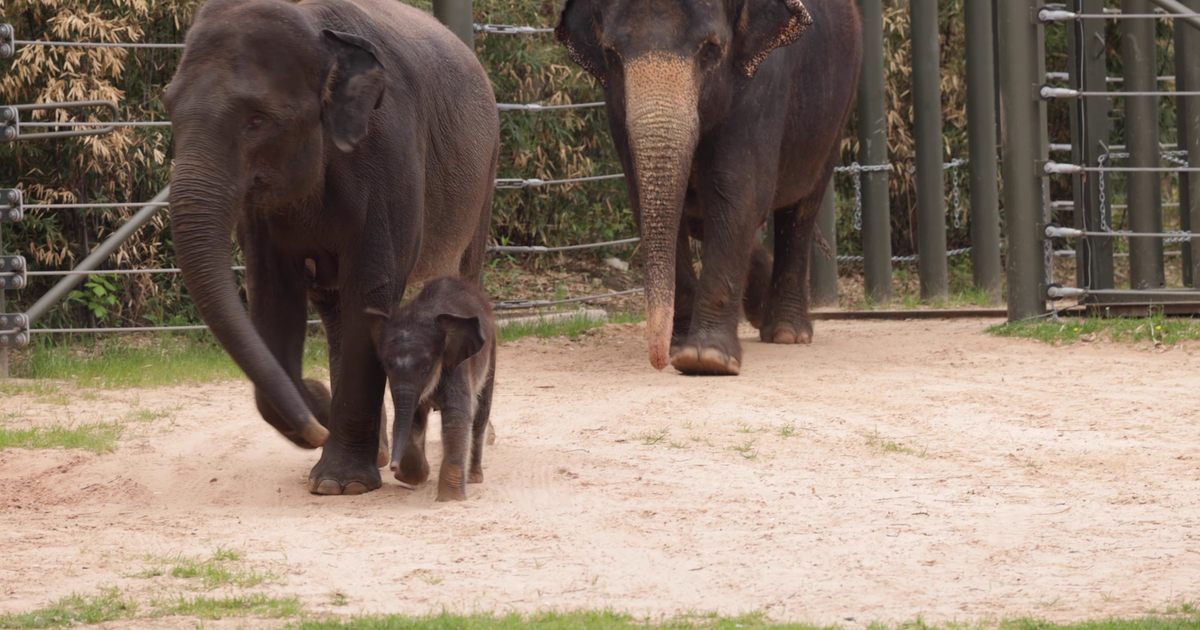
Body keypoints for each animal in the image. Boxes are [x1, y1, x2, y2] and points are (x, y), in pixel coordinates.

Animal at [366, 276, 497, 502]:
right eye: (385, 367)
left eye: (426, 368)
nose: (392, 467)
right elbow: (413, 417)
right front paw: (413, 476)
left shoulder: (456, 366)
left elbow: (456, 417)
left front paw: (450, 500)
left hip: (492, 355)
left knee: (480, 415)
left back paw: (474, 478)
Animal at [555, 0, 861, 375]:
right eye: (611, 56)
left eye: (711, 50)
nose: (658, 360)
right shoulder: (616, 106)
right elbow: (646, 200)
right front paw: (679, 346)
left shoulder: (762, 80)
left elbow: (738, 195)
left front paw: (707, 359)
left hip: (838, 111)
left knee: (801, 211)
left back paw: (788, 333)